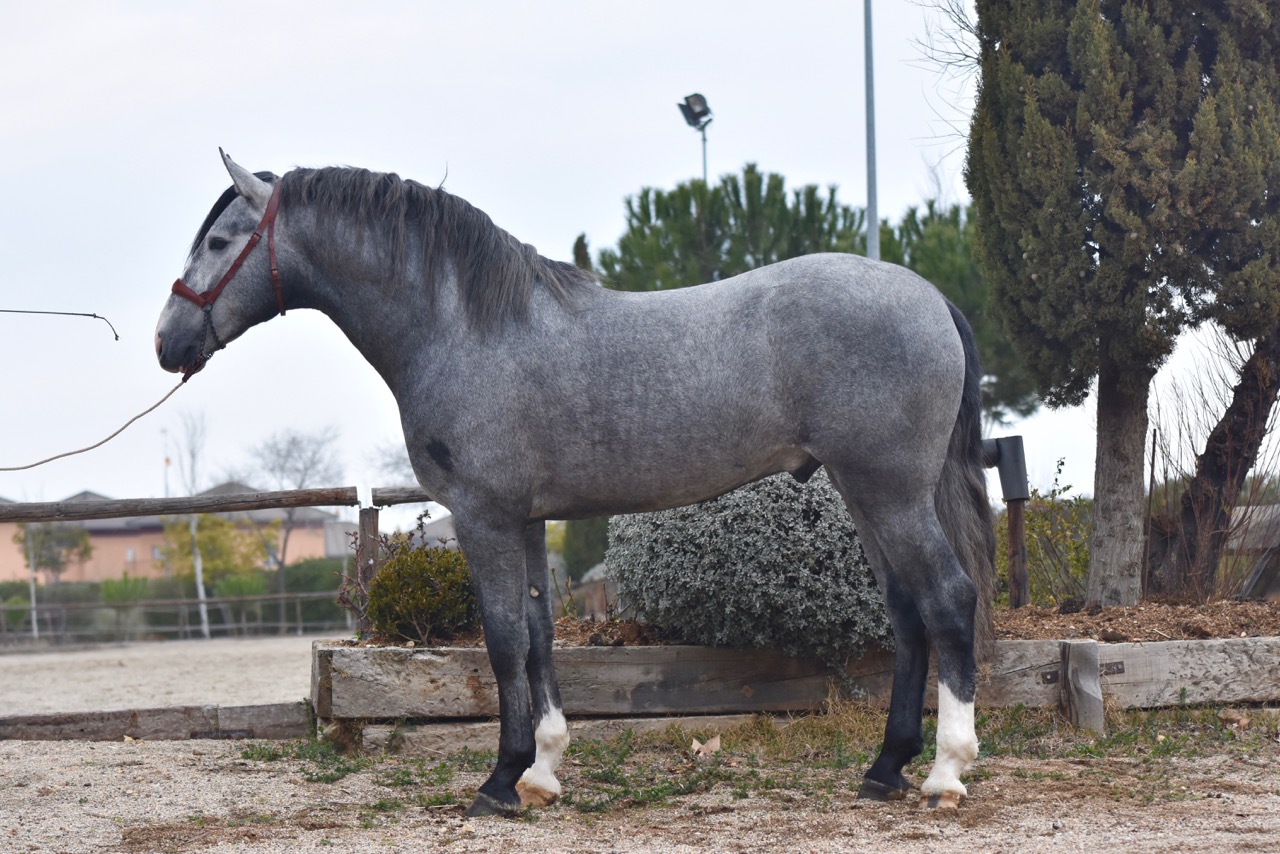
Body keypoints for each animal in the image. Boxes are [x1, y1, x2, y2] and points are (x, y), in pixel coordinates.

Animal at [155, 151, 995, 816]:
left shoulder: (484, 516)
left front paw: (499, 781)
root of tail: (930, 298)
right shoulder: (527, 520)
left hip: (890, 493)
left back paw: (946, 773)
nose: (168, 341)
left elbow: (500, 642)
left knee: (948, 600)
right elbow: (537, 635)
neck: (466, 329)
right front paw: (543, 771)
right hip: (866, 494)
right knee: (908, 613)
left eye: (221, 241)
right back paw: (885, 768)